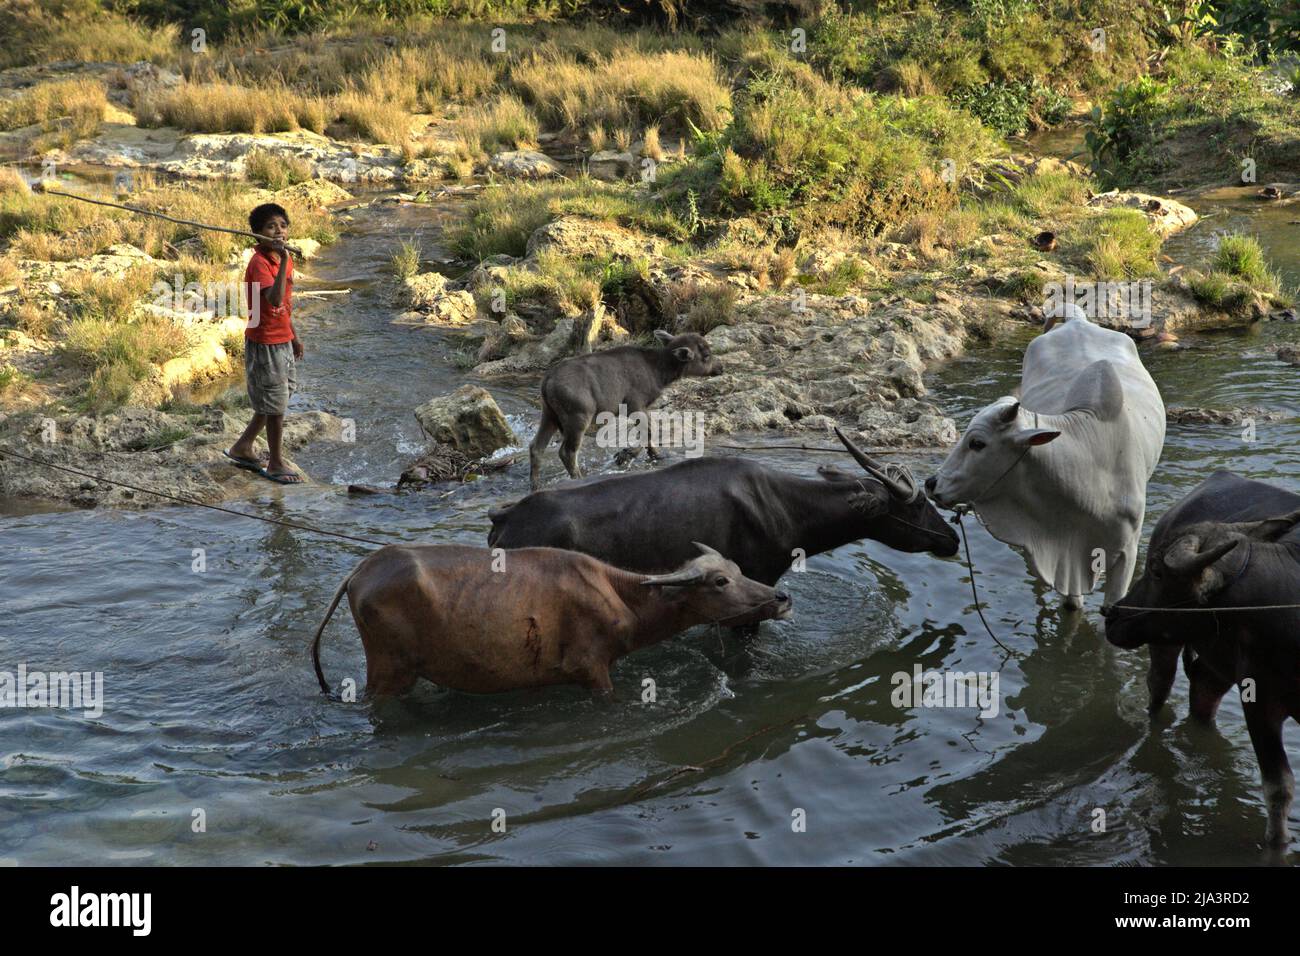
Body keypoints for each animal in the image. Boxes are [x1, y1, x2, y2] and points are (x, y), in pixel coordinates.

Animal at [1105, 470, 1300, 847]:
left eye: (1157, 572)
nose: (1112, 615)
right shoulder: (1260, 702)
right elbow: (1279, 789)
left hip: (1215, 666)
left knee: (1202, 698)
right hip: (1164, 649)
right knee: (1161, 693)